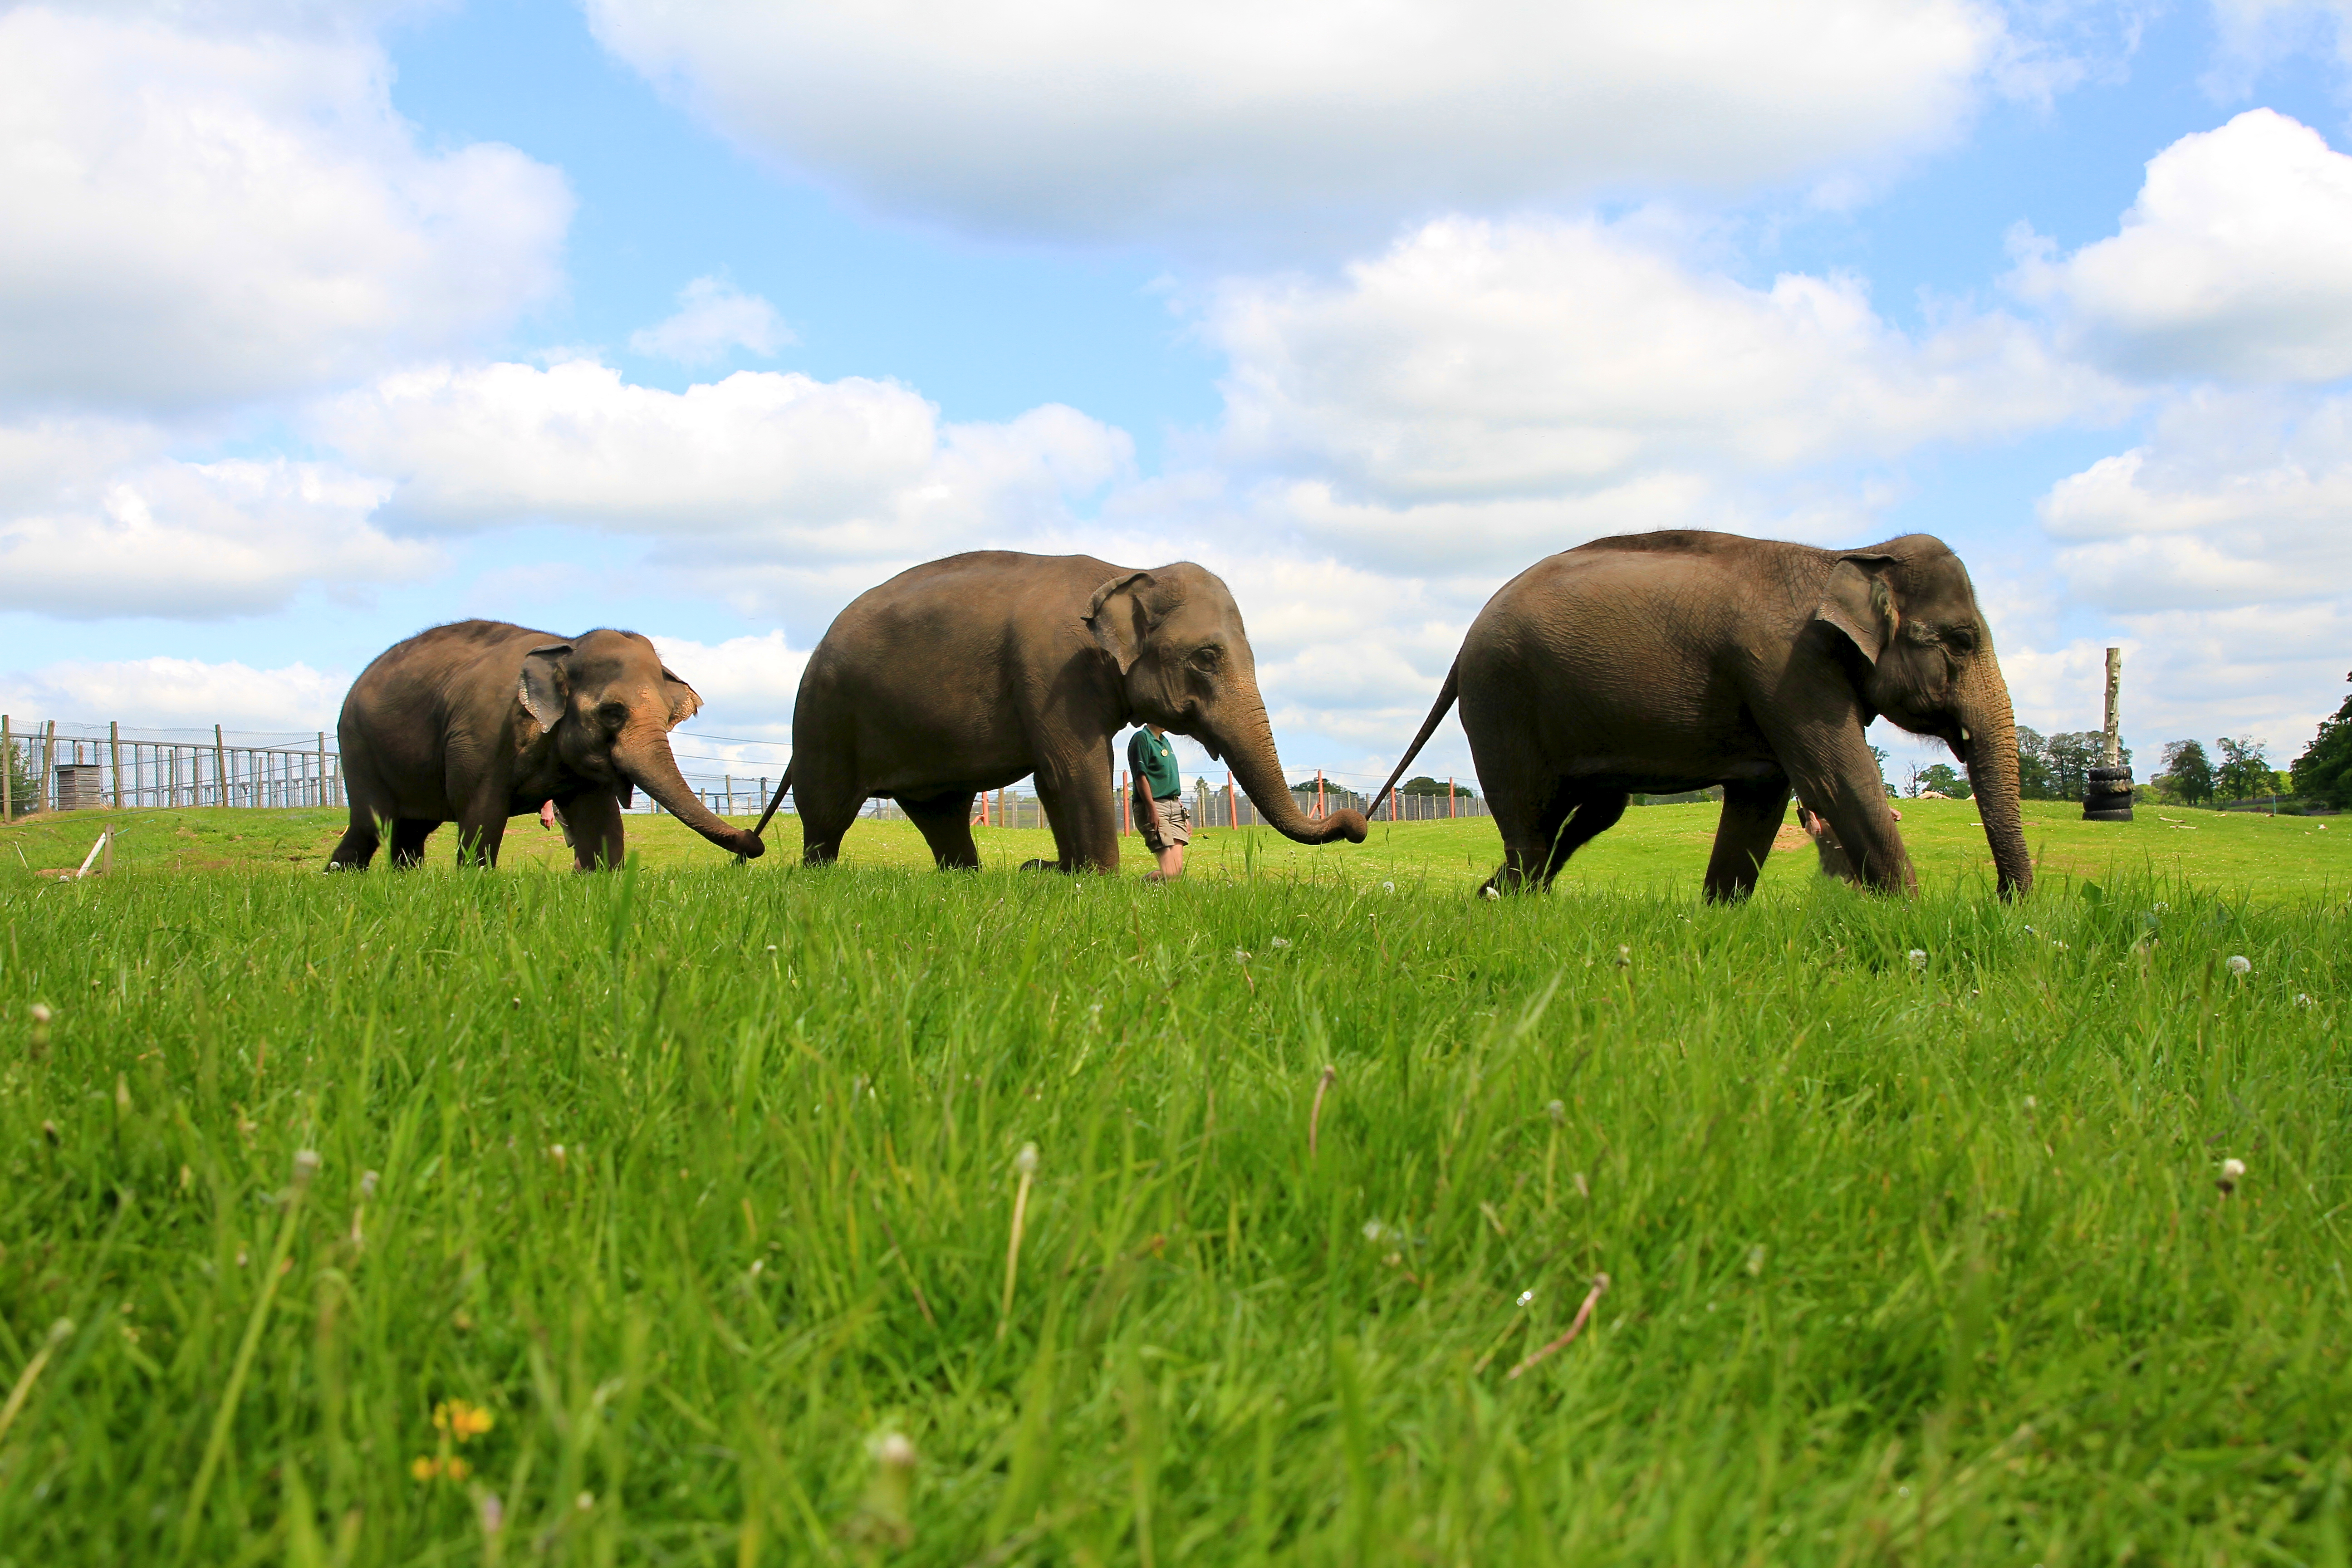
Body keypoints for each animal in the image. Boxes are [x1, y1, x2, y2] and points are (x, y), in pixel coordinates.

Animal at [329, 621, 766, 870]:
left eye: (667, 716)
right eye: (611, 713)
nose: (752, 841)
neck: (566, 646)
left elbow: (602, 828)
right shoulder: (481, 734)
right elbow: (482, 817)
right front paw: (475, 885)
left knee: (411, 830)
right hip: (358, 744)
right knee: (372, 824)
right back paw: (341, 878)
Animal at [751, 551, 1369, 870]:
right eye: (1208, 657)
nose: (1355, 822)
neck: (1127, 566)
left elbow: (1054, 779)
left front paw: (1057, 874)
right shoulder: (1054, 669)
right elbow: (1076, 769)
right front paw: (1097, 879)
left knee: (942, 813)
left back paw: (967, 877)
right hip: (825, 718)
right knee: (827, 813)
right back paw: (818, 877)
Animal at [1366, 530, 2032, 900]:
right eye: (1963, 640)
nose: (2003, 902)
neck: (1847, 557)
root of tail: (1462, 646)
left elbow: (1760, 801)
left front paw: (1717, 919)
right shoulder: (1789, 669)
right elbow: (1839, 782)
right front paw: (1912, 920)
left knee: (1587, 816)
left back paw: (1490, 899)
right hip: (1503, 701)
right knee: (1532, 823)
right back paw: (1511, 905)